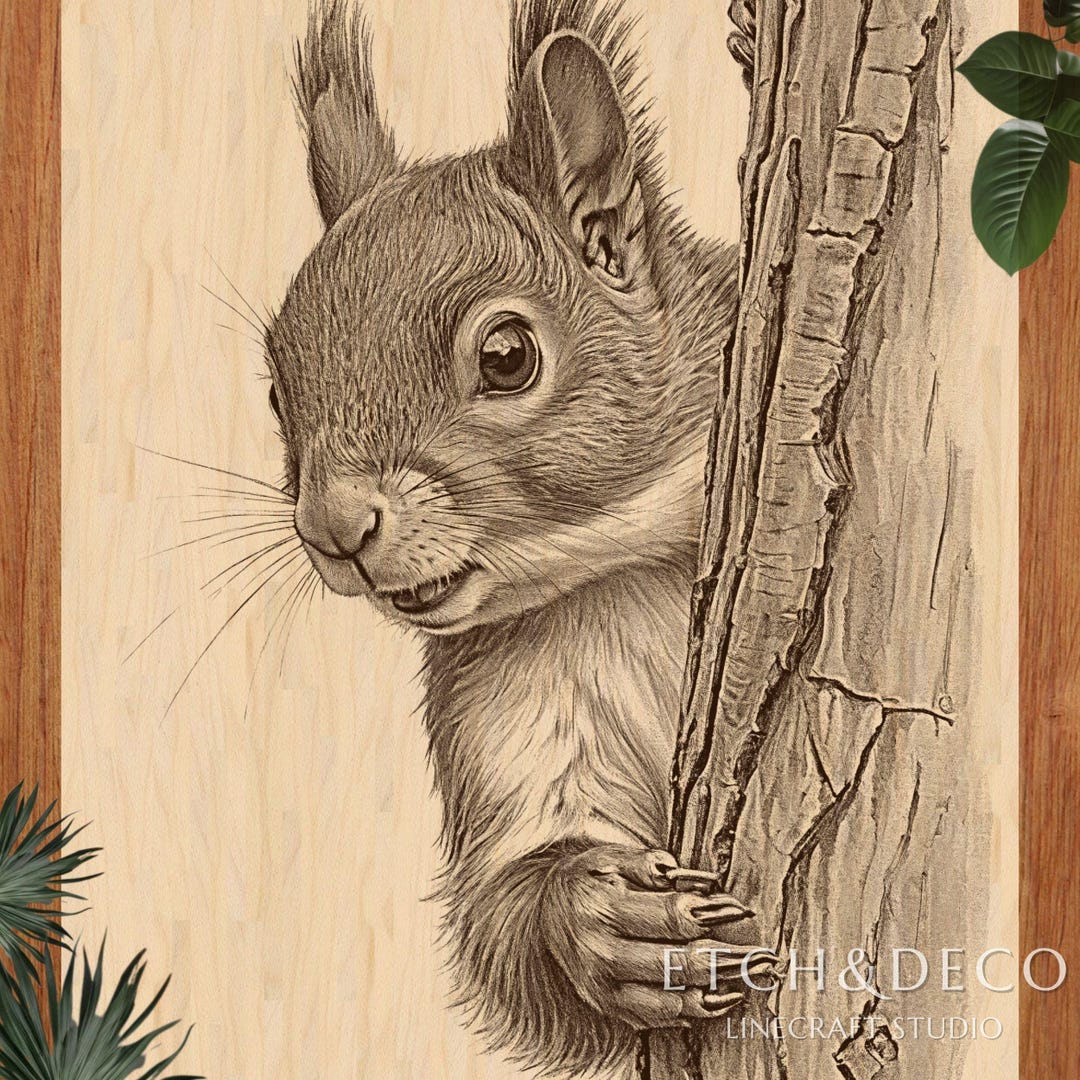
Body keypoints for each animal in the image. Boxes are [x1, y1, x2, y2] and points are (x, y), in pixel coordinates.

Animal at [265, 0, 775, 1074]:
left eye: (506, 355)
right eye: (279, 390)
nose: (334, 527)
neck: (608, 576)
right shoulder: (505, 717)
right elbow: (507, 910)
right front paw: (607, 928)